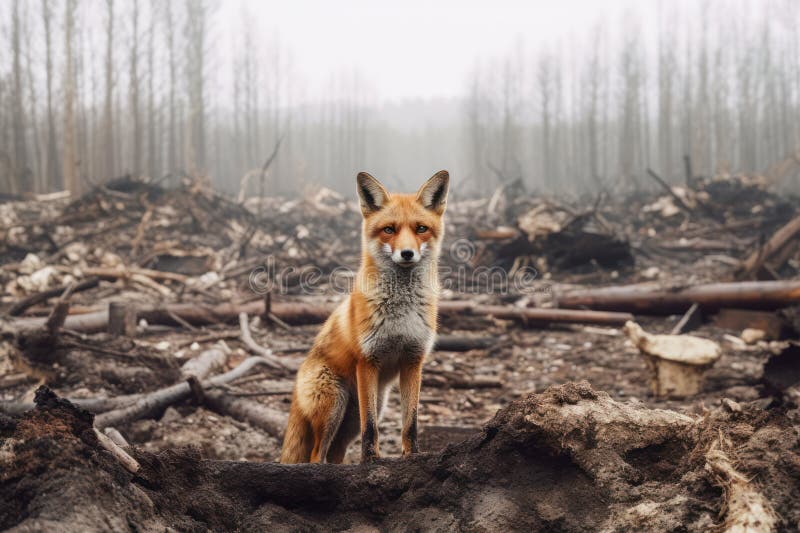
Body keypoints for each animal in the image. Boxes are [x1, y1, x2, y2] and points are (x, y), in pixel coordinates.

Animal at [280, 170, 449, 464]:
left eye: (420, 228)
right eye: (389, 229)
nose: (407, 253)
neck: (400, 314)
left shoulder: (413, 360)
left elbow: (411, 424)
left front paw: (412, 456)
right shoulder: (368, 361)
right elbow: (371, 428)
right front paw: (370, 461)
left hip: (358, 415)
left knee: (335, 453)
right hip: (334, 405)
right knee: (316, 454)